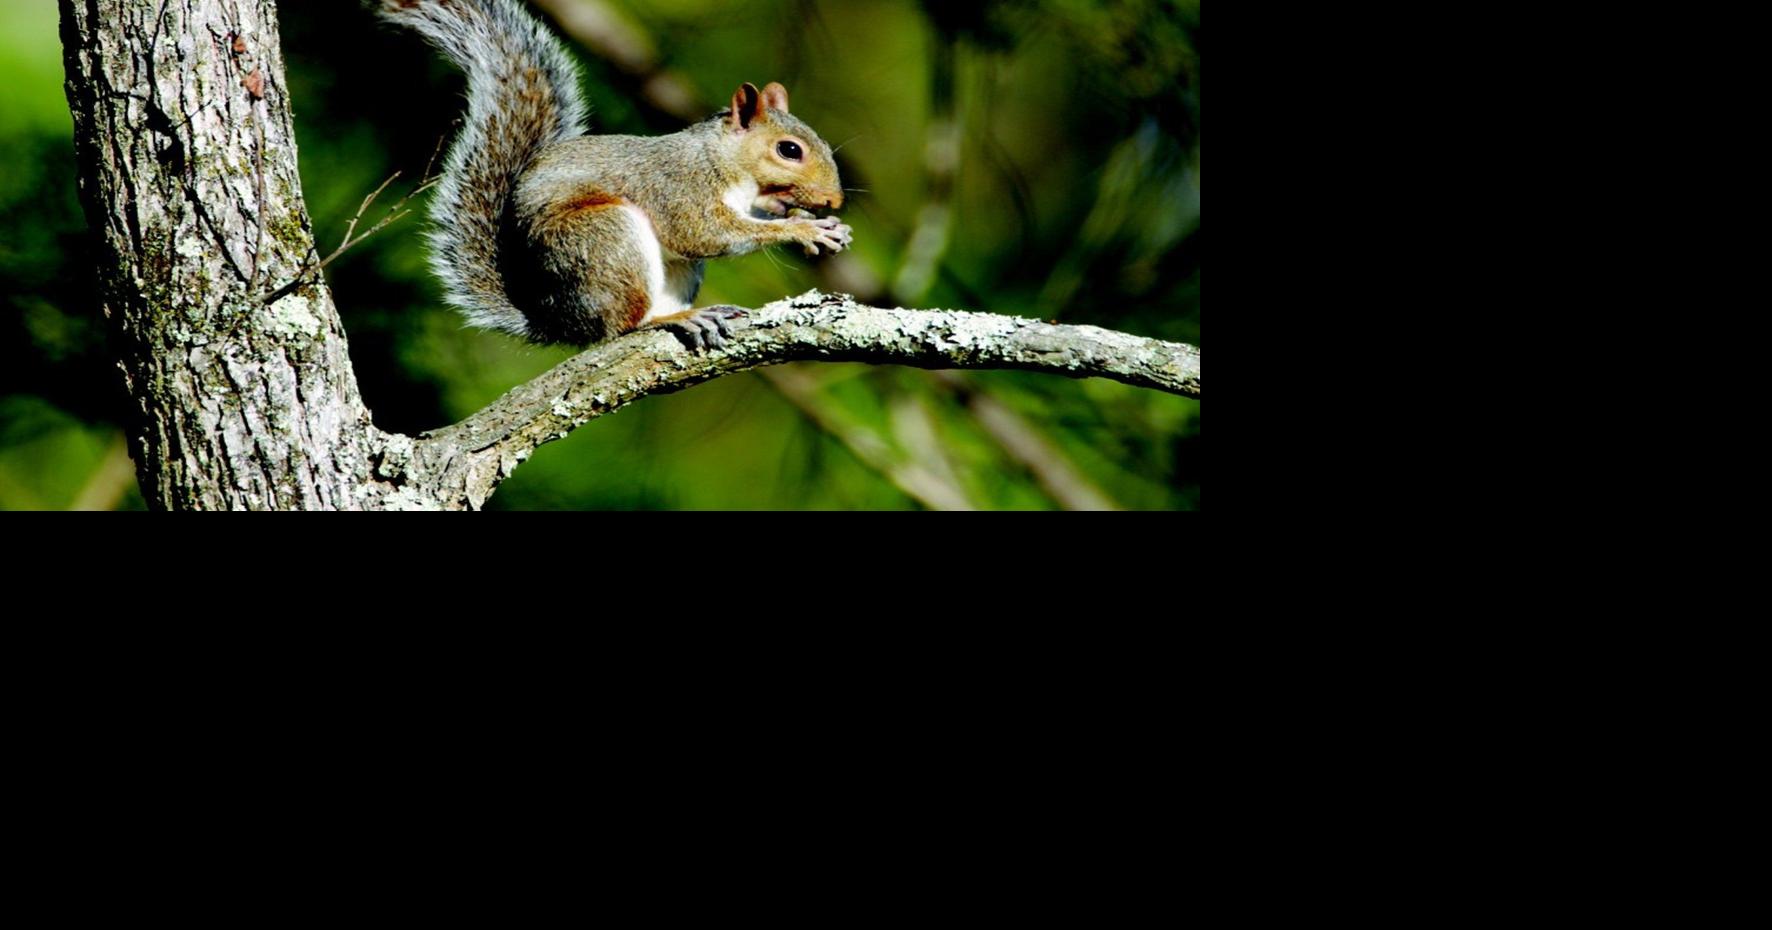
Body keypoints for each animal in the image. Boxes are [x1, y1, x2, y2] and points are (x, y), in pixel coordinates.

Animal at [379, 0, 852, 349]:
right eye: (789, 150)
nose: (835, 201)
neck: (720, 159)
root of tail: (562, 320)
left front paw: (818, 222)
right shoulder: (679, 186)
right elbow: (705, 233)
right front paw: (803, 230)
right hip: (606, 238)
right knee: (619, 327)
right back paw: (670, 320)